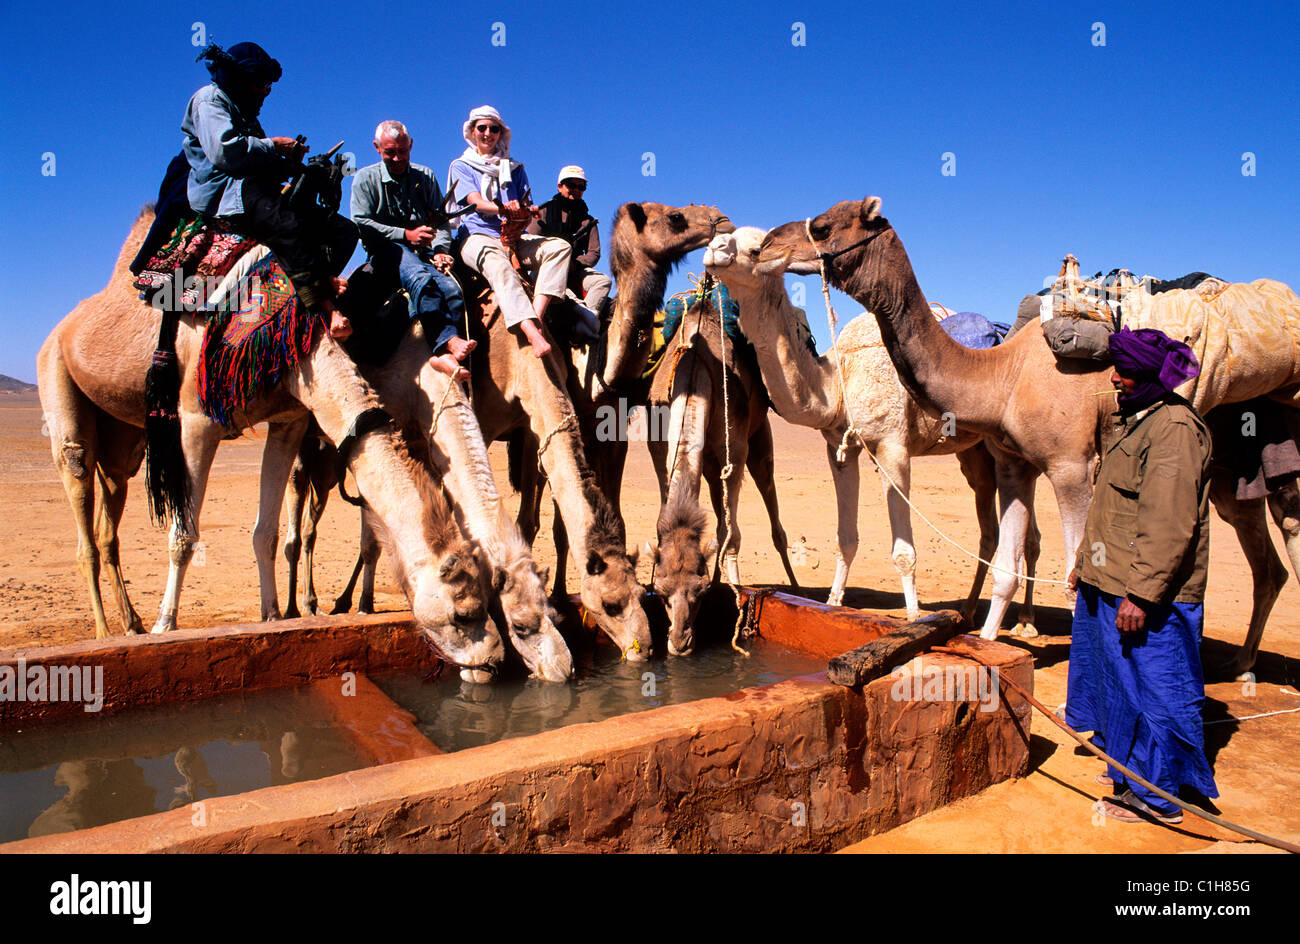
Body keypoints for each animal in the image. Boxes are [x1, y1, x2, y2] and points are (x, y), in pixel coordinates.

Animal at [37, 208, 504, 680]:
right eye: (464, 612)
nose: (495, 661)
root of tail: (63, 327)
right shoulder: (196, 421)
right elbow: (184, 536)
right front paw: (164, 626)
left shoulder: (287, 421)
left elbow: (266, 530)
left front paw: (274, 618)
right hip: (56, 375)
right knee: (80, 491)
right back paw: (106, 633)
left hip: (124, 440)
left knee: (109, 514)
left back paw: (130, 623)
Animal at [644, 287, 799, 654]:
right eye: (662, 593)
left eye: (698, 594)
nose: (679, 642)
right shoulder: (659, 450)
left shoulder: (735, 451)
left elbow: (733, 535)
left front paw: (735, 598)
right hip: (713, 467)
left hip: (759, 441)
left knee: (773, 519)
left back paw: (799, 589)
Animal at [705, 226, 1040, 626]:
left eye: (756, 249)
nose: (713, 249)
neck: (839, 382)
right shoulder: (839, 447)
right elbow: (845, 538)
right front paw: (833, 604)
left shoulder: (893, 447)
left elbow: (904, 553)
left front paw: (913, 618)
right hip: (976, 452)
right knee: (993, 529)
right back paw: (974, 612)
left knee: (1026, 534)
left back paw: (1026, 623)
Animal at [759, 196, 1300, 675]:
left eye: (824, 225)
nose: (766, 244)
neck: (1004, 375)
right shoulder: (1014, 465)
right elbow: (1008, 565)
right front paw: (986, 646)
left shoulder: (1071, 467)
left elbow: (1078, 578)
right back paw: (1239, 662)